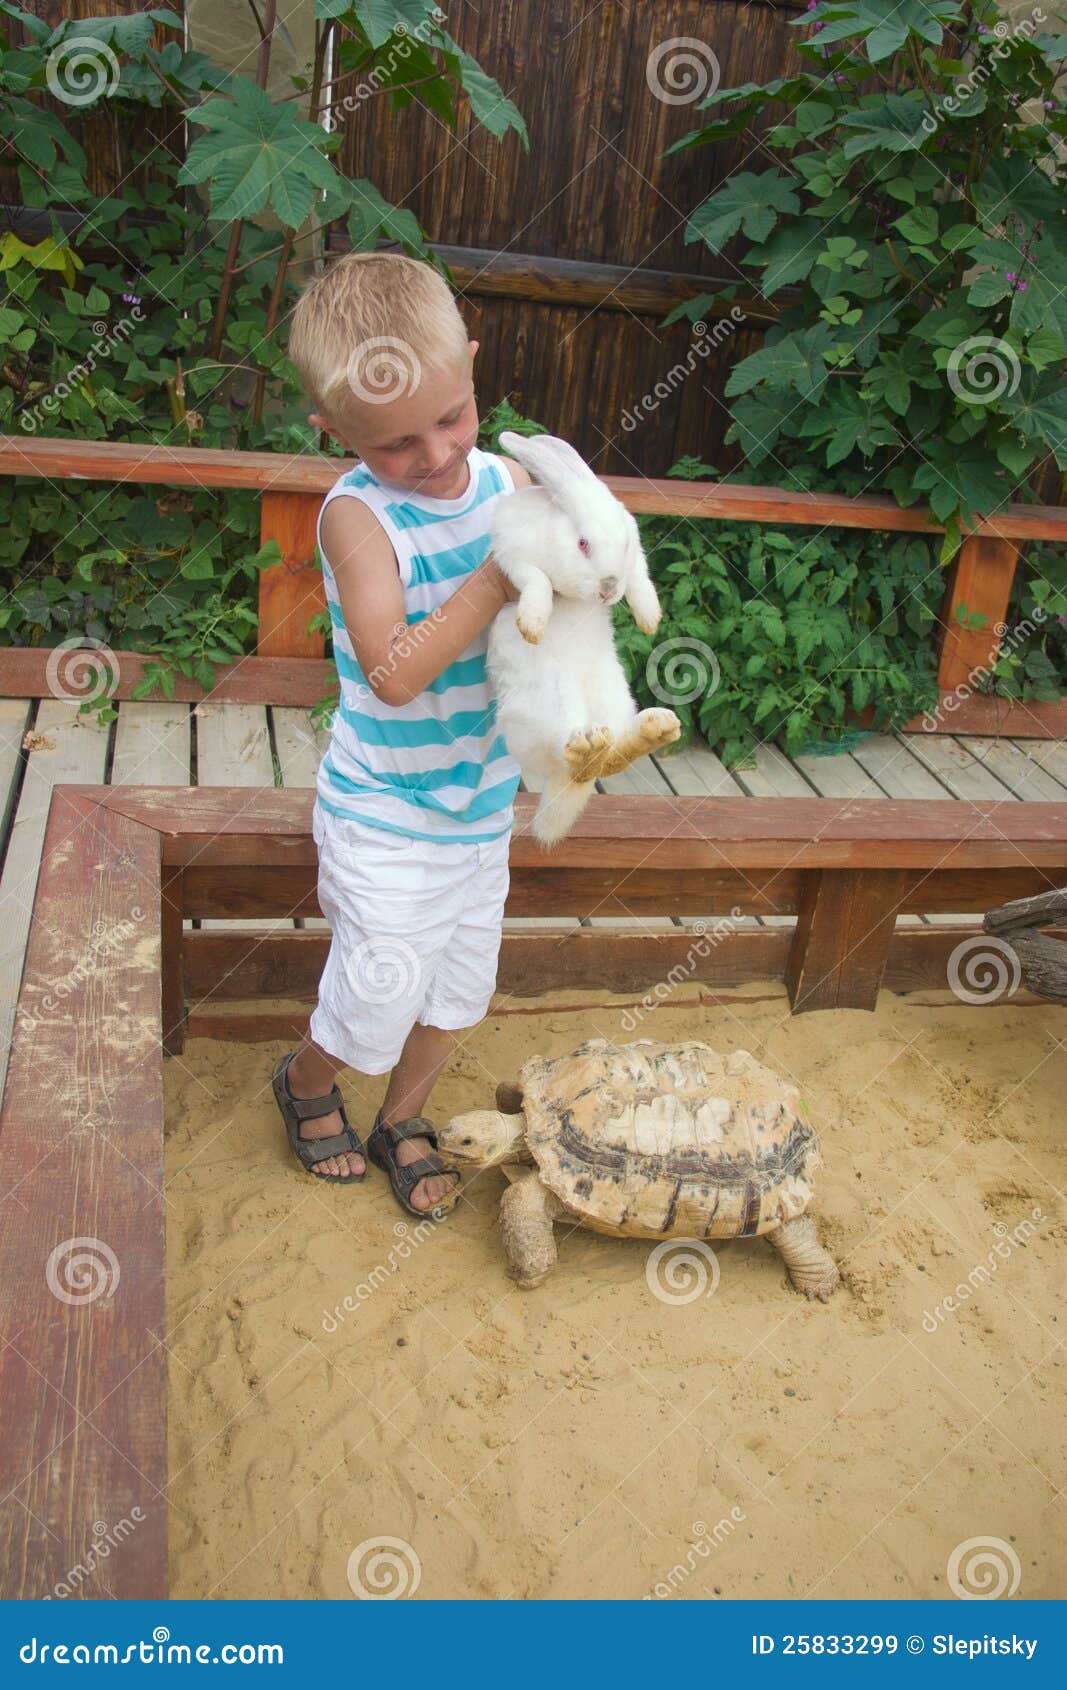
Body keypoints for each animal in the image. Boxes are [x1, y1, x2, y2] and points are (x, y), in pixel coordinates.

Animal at [487, 430, 681, 846]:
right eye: (582, 544)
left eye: (623, 544)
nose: (608, 588)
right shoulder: (512, 555)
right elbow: (537, 582)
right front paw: (532, 624)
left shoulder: (635, 559)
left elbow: (639, 579)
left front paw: (650, 620)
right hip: (553, 700)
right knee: (574, 757)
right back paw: (587, 748)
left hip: (615, 696)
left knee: (611, 757)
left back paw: (651, 730)